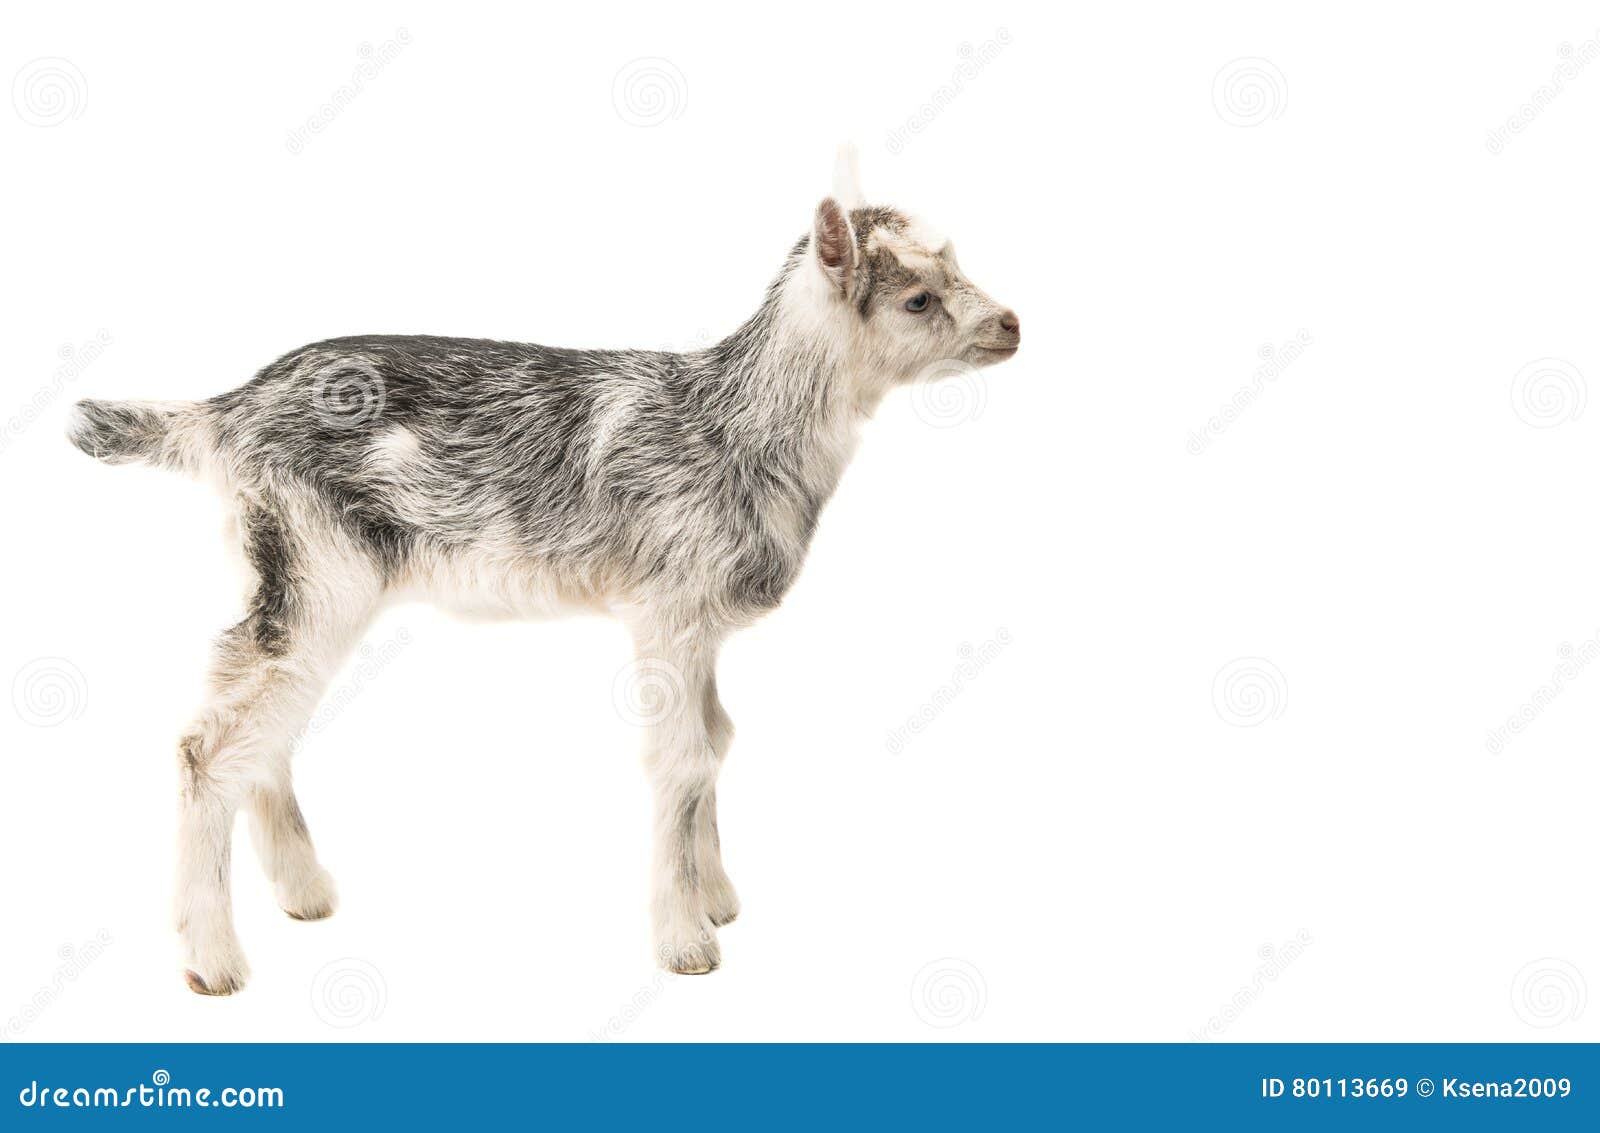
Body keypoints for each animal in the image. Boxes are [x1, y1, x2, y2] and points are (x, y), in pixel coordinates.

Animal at [67, 149, 1020, 994]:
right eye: (918, 297)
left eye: (957, 261)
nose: (1012, 324)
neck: (738, 426)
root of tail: (221, 414)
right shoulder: (668, 608)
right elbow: (681, 759)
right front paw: (687, 944)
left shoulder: (701, 625)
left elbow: (716, 740)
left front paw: (717, 899)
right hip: (317, 567)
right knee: (211, 743)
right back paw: (212, 960)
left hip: (286, 575)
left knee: (262, 715)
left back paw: (303, 893)